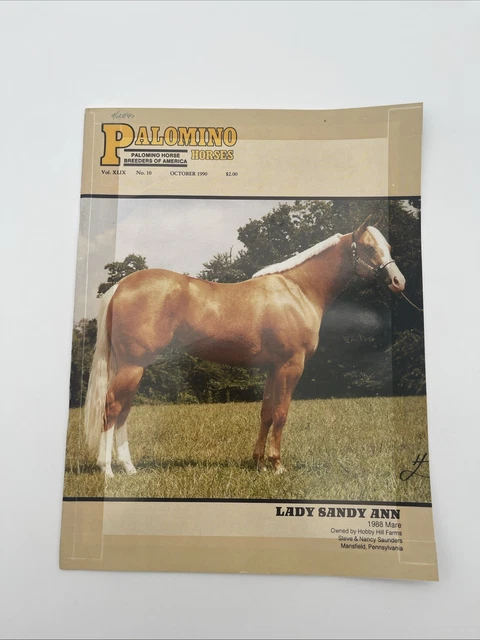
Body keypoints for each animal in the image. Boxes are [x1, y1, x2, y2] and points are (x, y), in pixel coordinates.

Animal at [83, 214, 405, 477]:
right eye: (368, 248)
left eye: (389, 246)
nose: (398, 281)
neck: (297, 290)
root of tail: (121, 286)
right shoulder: (291, 365)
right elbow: (282, 413)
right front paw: (277, 465)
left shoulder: (274, 368)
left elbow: (266, 413)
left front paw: (260, 463)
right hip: (132, 366)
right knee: (111, 408)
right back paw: (107, 470)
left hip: (133, 367)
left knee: (123, 412)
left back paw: (129, 468)